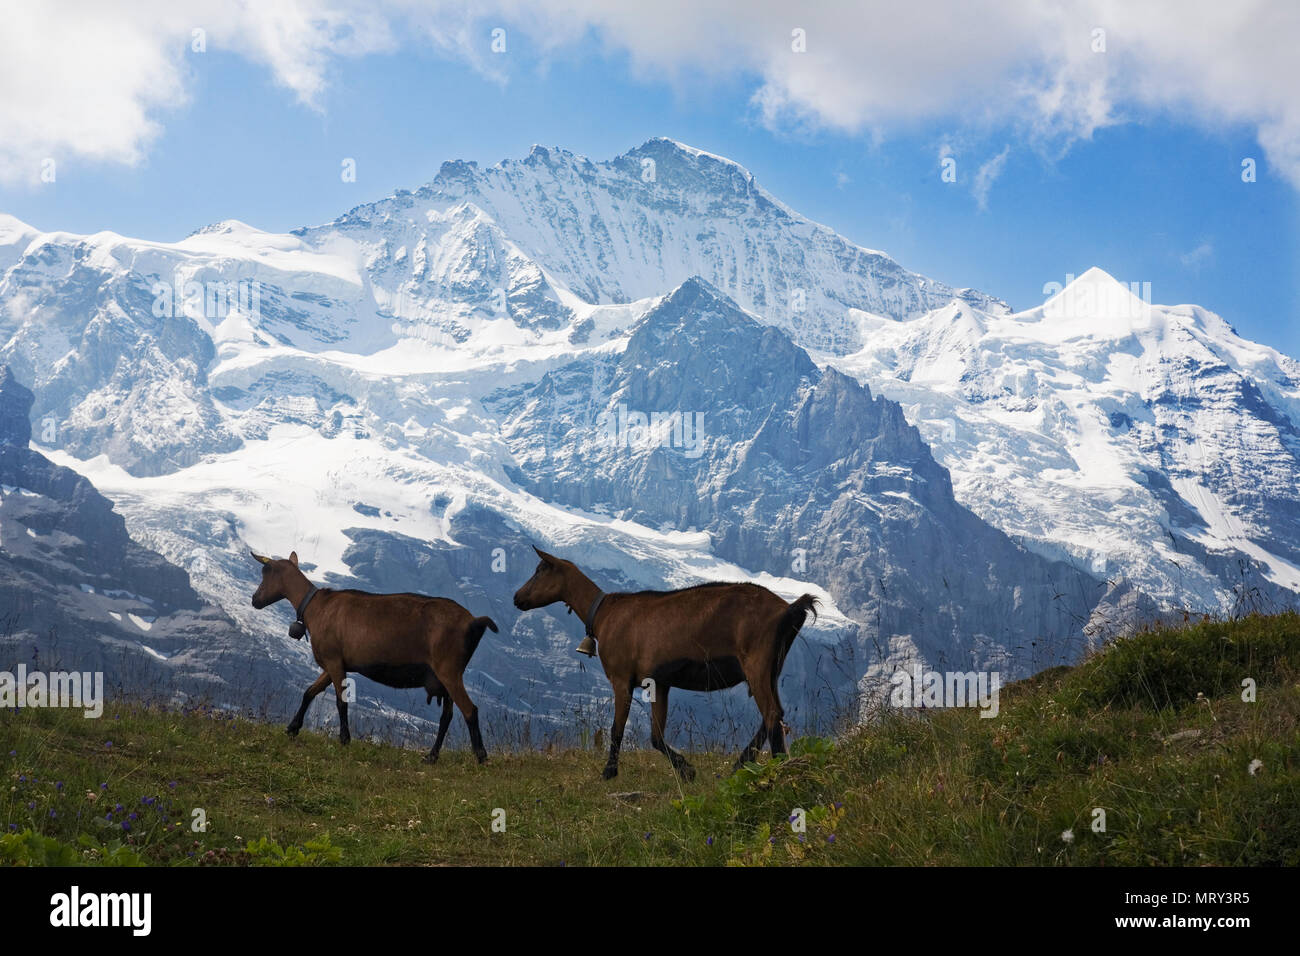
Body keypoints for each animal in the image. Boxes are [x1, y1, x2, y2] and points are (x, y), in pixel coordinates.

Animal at [249, 550, 498, 763]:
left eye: (265, 572)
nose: (254, 599)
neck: (316, 607)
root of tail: (474, 621)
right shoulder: (334, 663)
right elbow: (309, 692)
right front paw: (292, 728)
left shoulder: (333, 660)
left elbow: (341, 701)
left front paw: (344, 740)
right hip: (446, 676)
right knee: (447, 716)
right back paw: (431, 756)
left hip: (449, 670)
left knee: (470, 710)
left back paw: (481, 756)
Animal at [513, 548, 817, 780]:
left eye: (540, 570)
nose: (517, 598)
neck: (602, 613)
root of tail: (789, 609)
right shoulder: (659, 682)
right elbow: (656, 737)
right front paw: (687, 771)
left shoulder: (621, 678)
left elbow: (616, 729)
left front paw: (609, 772)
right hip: (771, 667)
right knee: (776, 714)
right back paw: (746, 764)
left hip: (757, 662)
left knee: (772, 714)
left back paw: (773, 765)